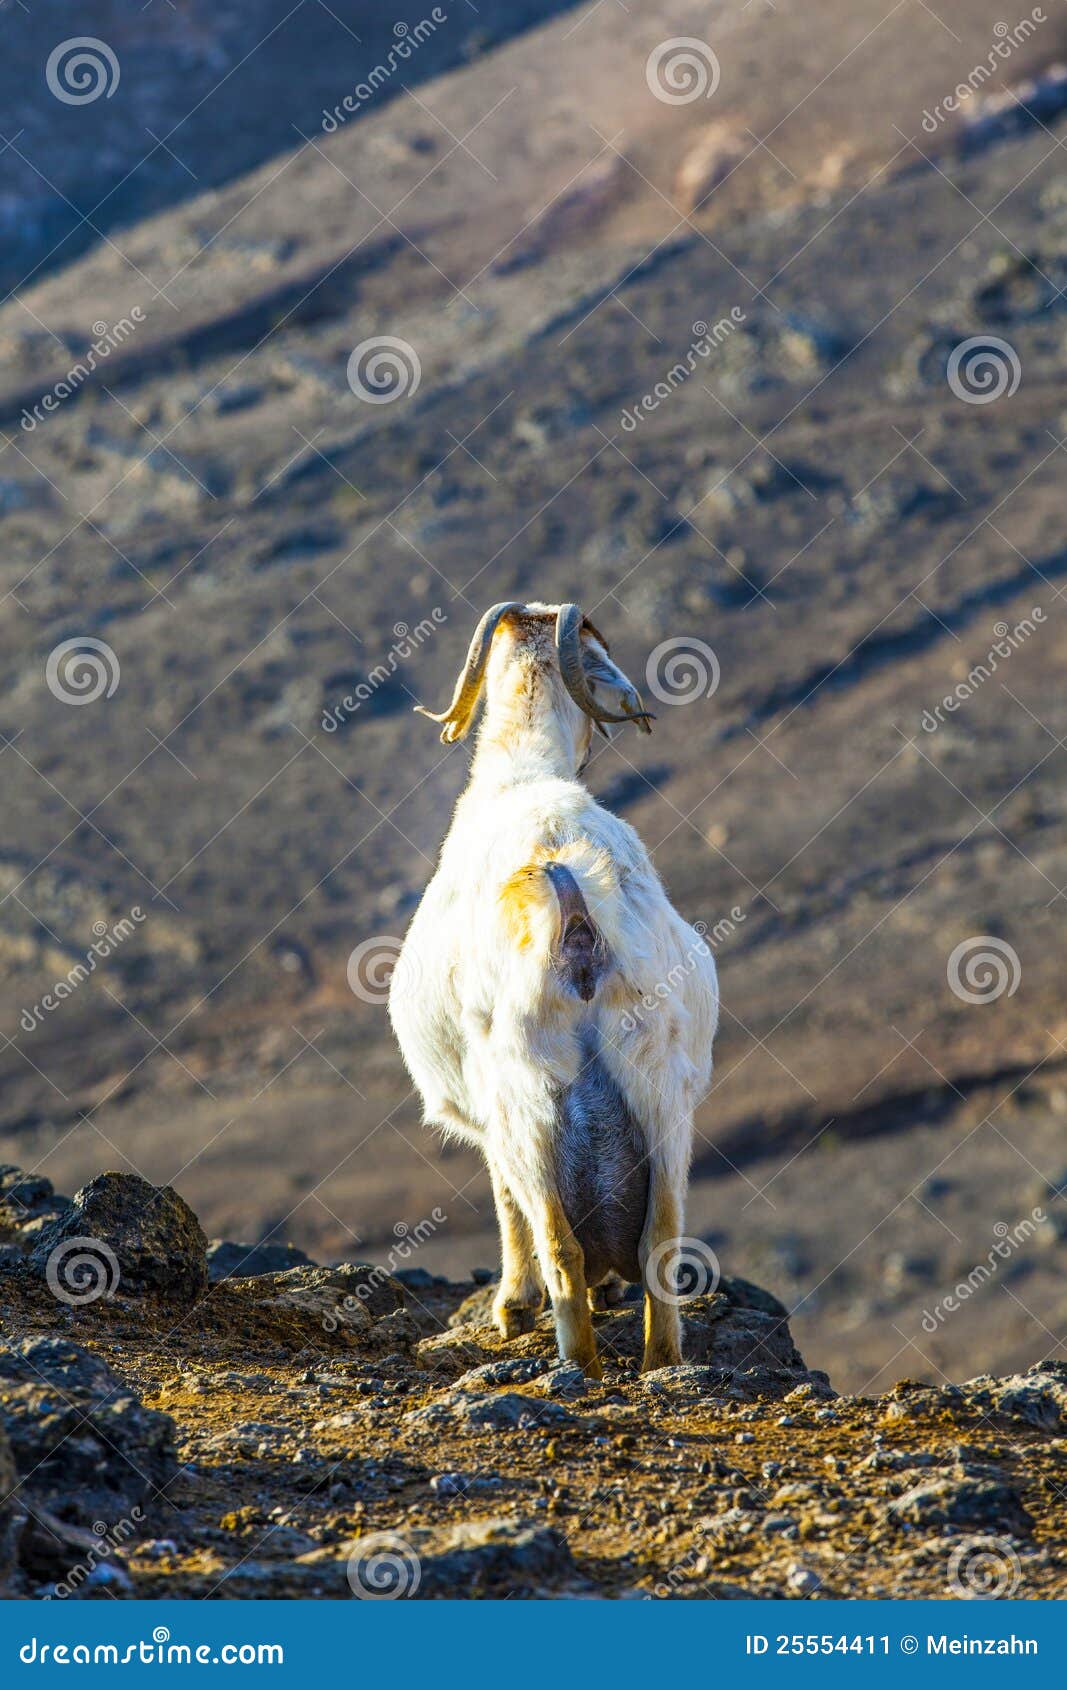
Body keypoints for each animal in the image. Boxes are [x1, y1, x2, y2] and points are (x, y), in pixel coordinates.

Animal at [388, 603, 719, 1376]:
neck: (522, 775)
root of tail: (575, 923)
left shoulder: (485, 1116)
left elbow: (504, 1203)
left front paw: (511, 1308)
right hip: (662, 1093)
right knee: (660, 1241)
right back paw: (659, 1362)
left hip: (528, 1106)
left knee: (560, 1244)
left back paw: (579, 1365)